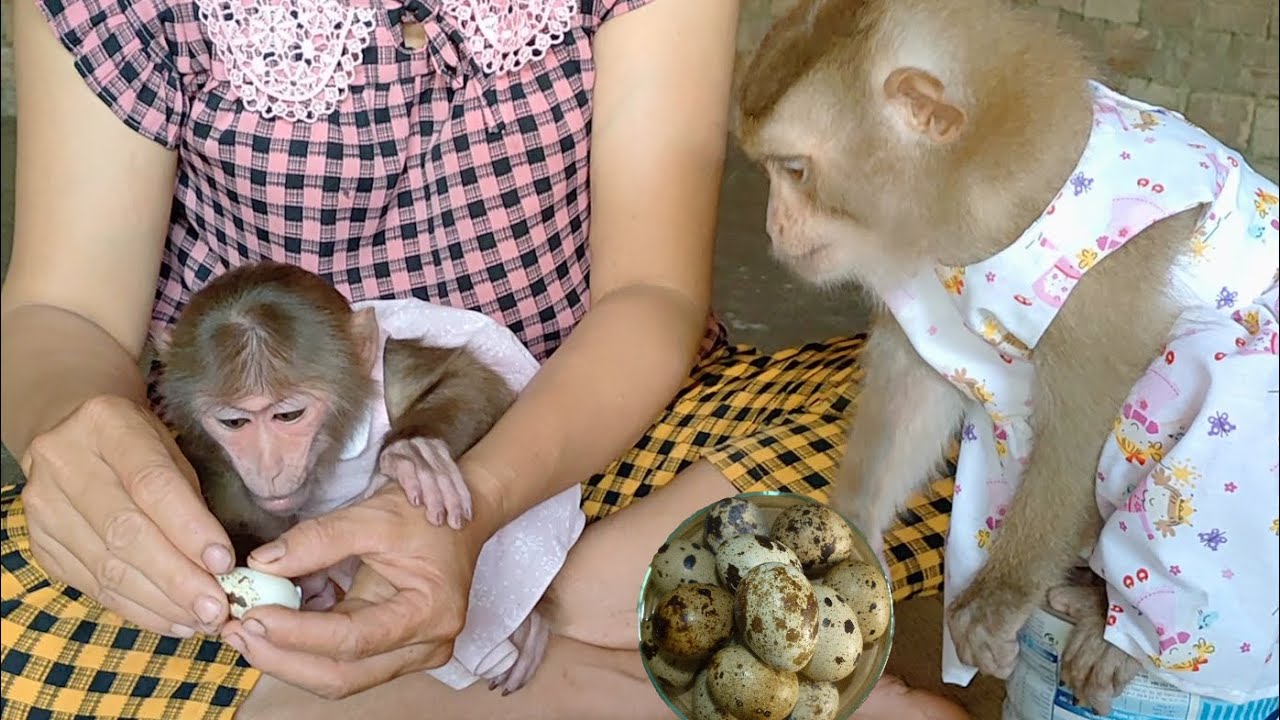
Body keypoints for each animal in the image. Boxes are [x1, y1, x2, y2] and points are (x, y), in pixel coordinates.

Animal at [733, 0, 1279, 714]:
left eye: (795, 170)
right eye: (770, 171)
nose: (772, 227)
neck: (983, 184)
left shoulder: (1110, 274)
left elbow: (1088, 410)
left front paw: (1000, 597)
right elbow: (920, 387)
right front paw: (851, 523)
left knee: (1219, 360)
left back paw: (1119, 621)